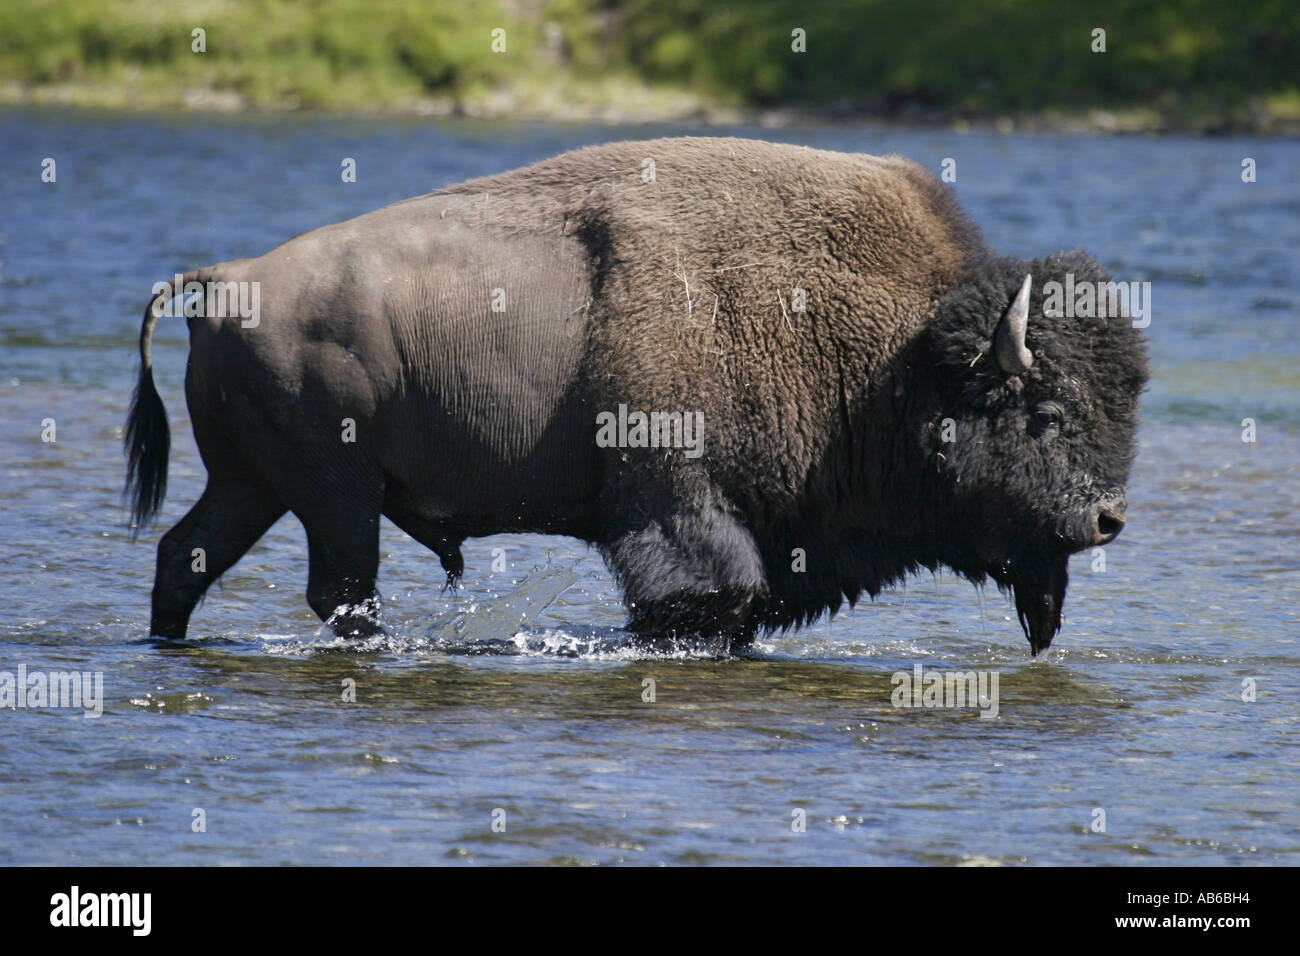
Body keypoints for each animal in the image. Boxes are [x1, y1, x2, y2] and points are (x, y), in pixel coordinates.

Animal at [125, 136, 1148, 654]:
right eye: (1046, 414)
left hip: (258, 485)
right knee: (339, 591)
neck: (893, 360)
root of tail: (222, 281)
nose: (1106, 519)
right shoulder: (679, 509)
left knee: (187, 557)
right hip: (333, 494)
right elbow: (705, 598)